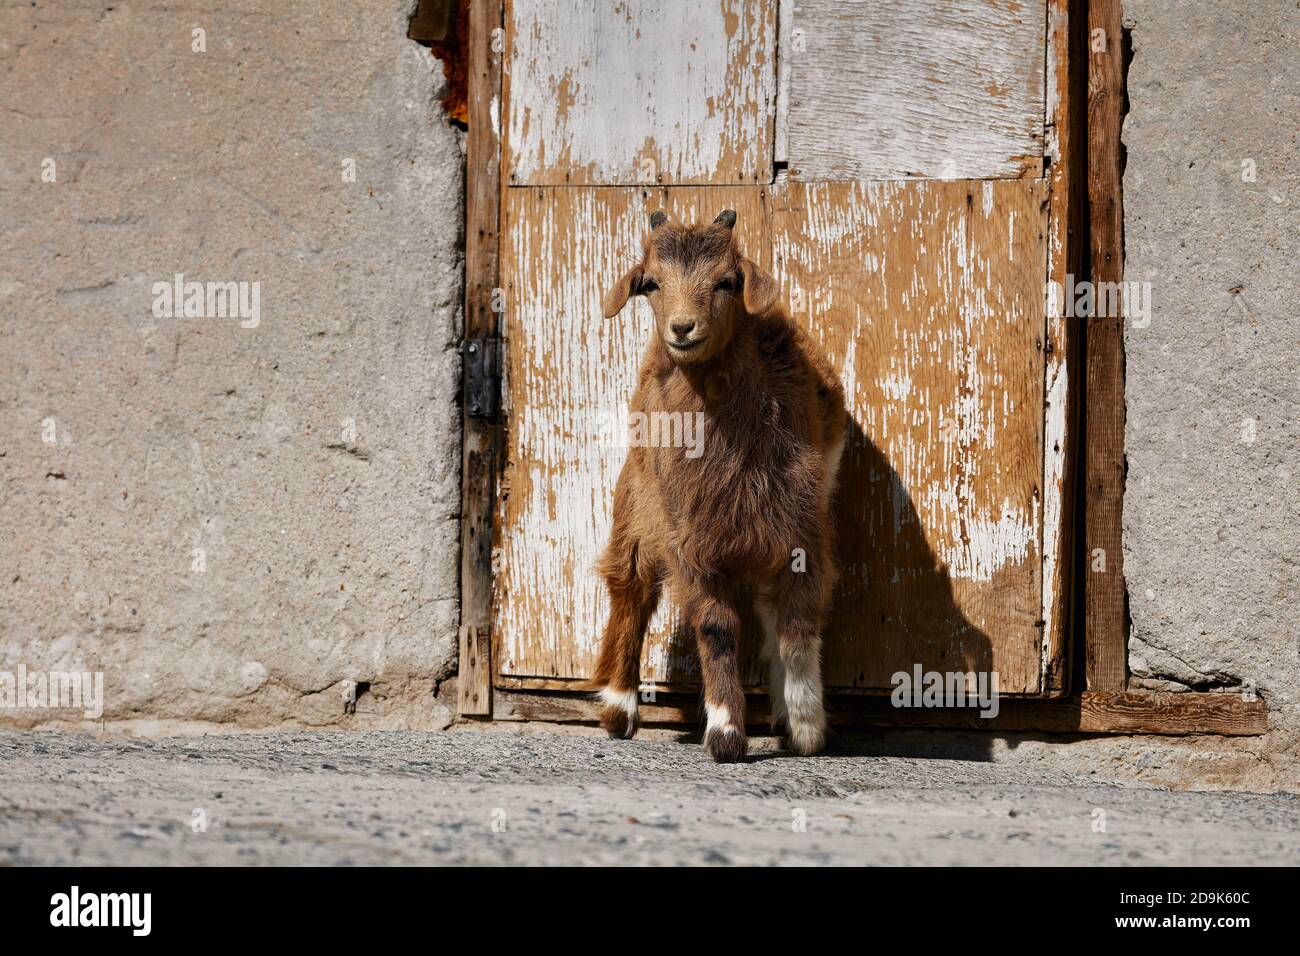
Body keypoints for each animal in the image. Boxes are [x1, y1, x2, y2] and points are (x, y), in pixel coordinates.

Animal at [593, 209, 847, 762]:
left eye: (728, 282)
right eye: (650, 284)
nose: (682, 328)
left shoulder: (800, 528)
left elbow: (797, 624)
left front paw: (806, 726)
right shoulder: (689, 535)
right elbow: (717, 627)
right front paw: (727, 731)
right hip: (637, 501)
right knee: (630, 586)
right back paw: (619, 709)